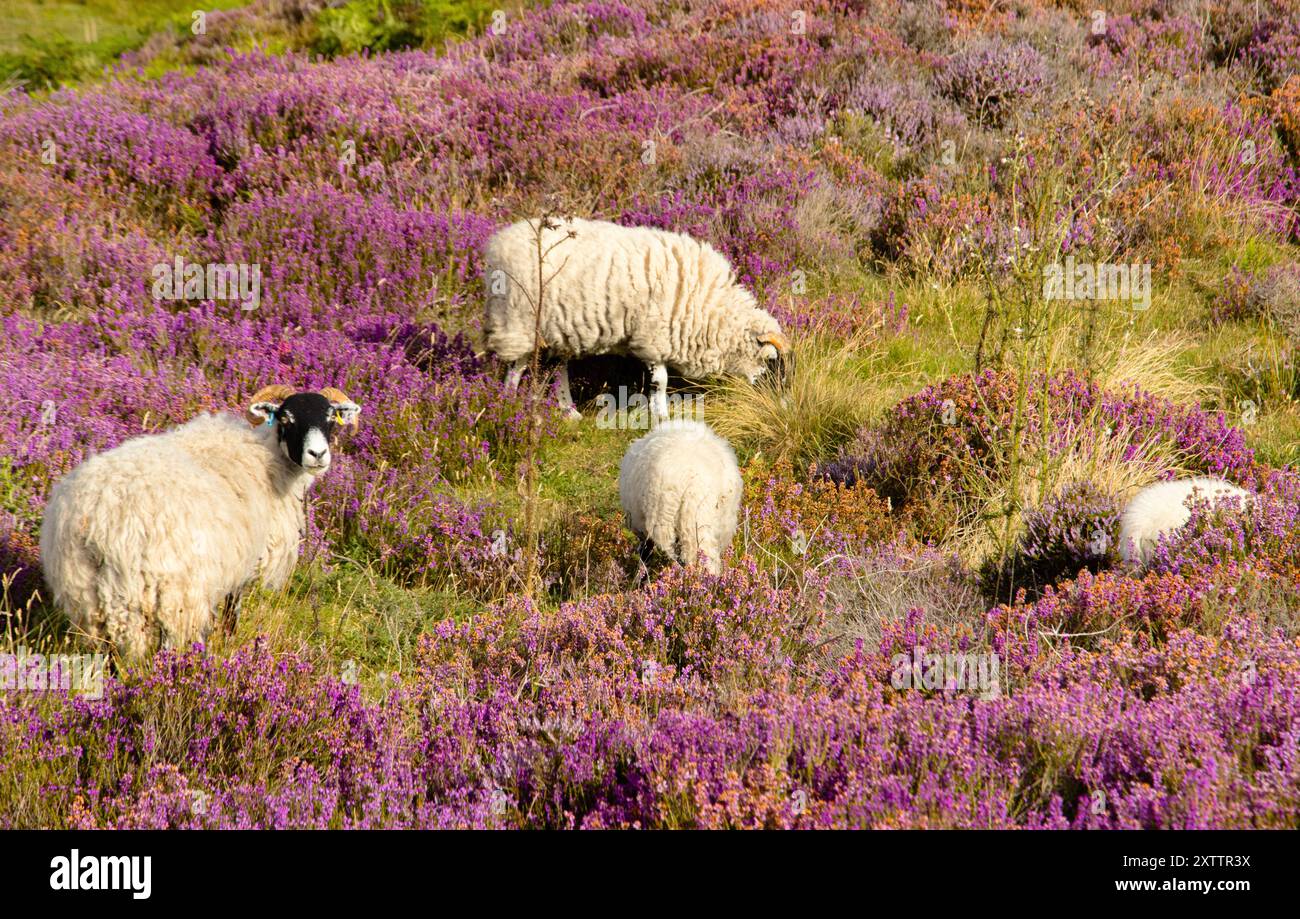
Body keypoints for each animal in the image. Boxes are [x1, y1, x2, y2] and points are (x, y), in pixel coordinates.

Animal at [39, 386, 361, 662]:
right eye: (285, 418)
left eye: (330, 418)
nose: (318, 455)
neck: (267, 457)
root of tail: (97, 519)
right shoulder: (240, 562)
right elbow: (232, 613)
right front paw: (227, 644)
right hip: (168, 591)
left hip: (83, 590)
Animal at [484, 217, 790, 422]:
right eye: (772, 361)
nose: (782, 401)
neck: (713, 310)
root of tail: (499, 243)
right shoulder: (654, 338)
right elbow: (661, 381)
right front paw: (661, 415)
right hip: (520, 320)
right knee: (516, 367)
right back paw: (508, 408)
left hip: (558, 328)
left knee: (558, 368)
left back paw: (569, 411)